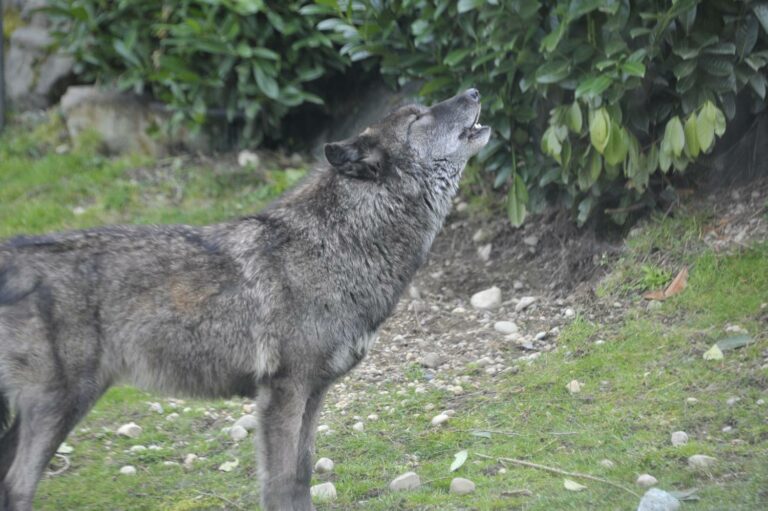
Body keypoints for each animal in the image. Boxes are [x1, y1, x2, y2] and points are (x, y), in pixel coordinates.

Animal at [0, 89, 491, 510]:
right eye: (417, 118)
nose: (473, 91)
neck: (339, 242)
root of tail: (15, 255)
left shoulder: (314, 393)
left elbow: (301, 475)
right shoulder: (283, 392)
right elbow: (279, 483)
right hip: (62, 404)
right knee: (18, 485)